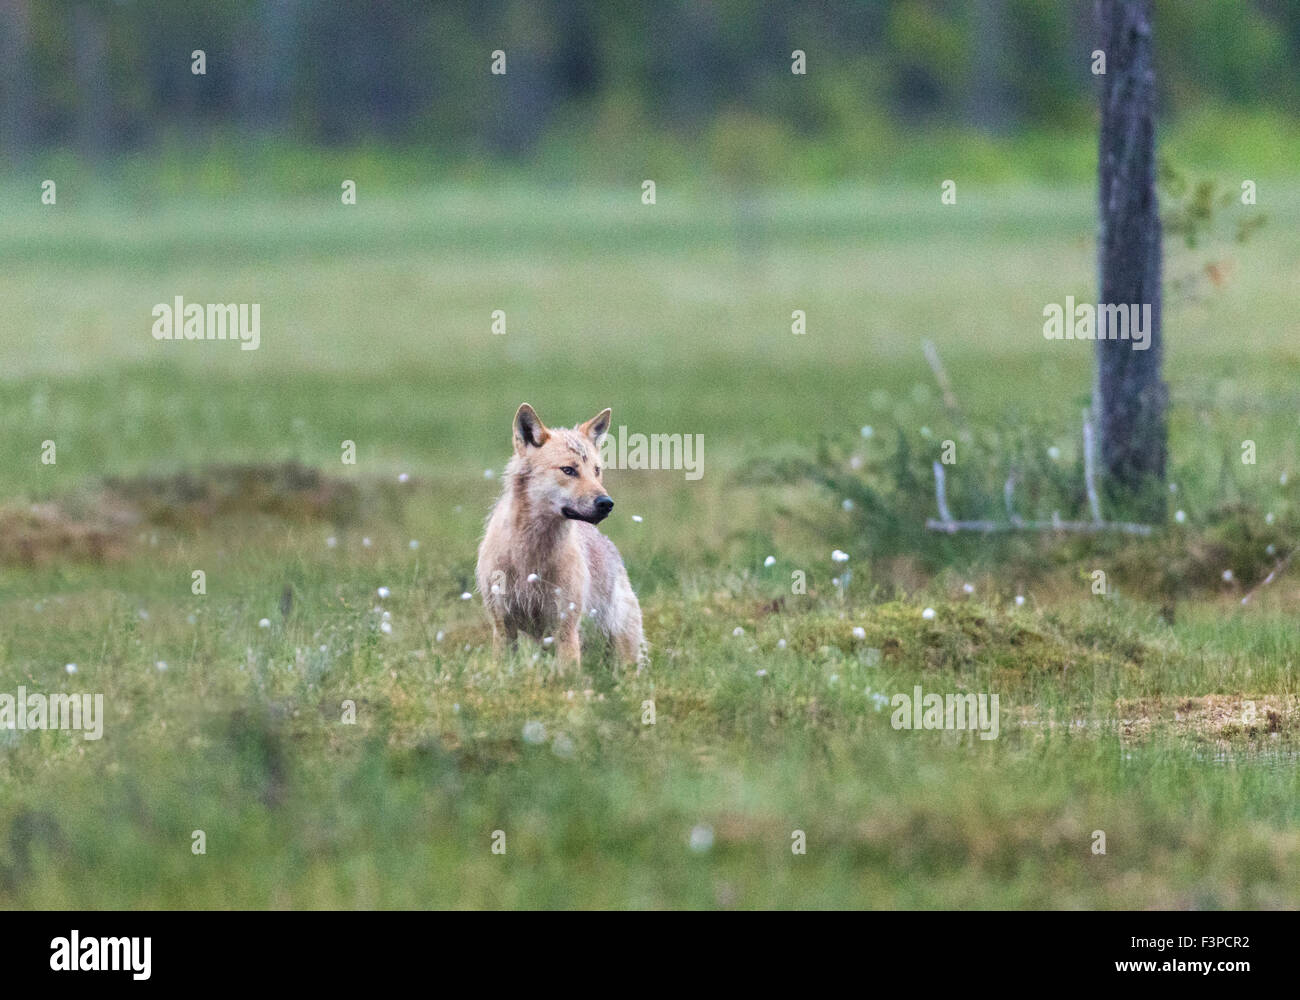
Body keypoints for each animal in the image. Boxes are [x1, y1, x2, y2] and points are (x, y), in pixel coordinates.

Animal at [476, 403, 645, 672]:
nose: (606, 503)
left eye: (596, 471)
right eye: (569, 470)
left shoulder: (565, 628)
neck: (530, 557)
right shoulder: (503, 628)